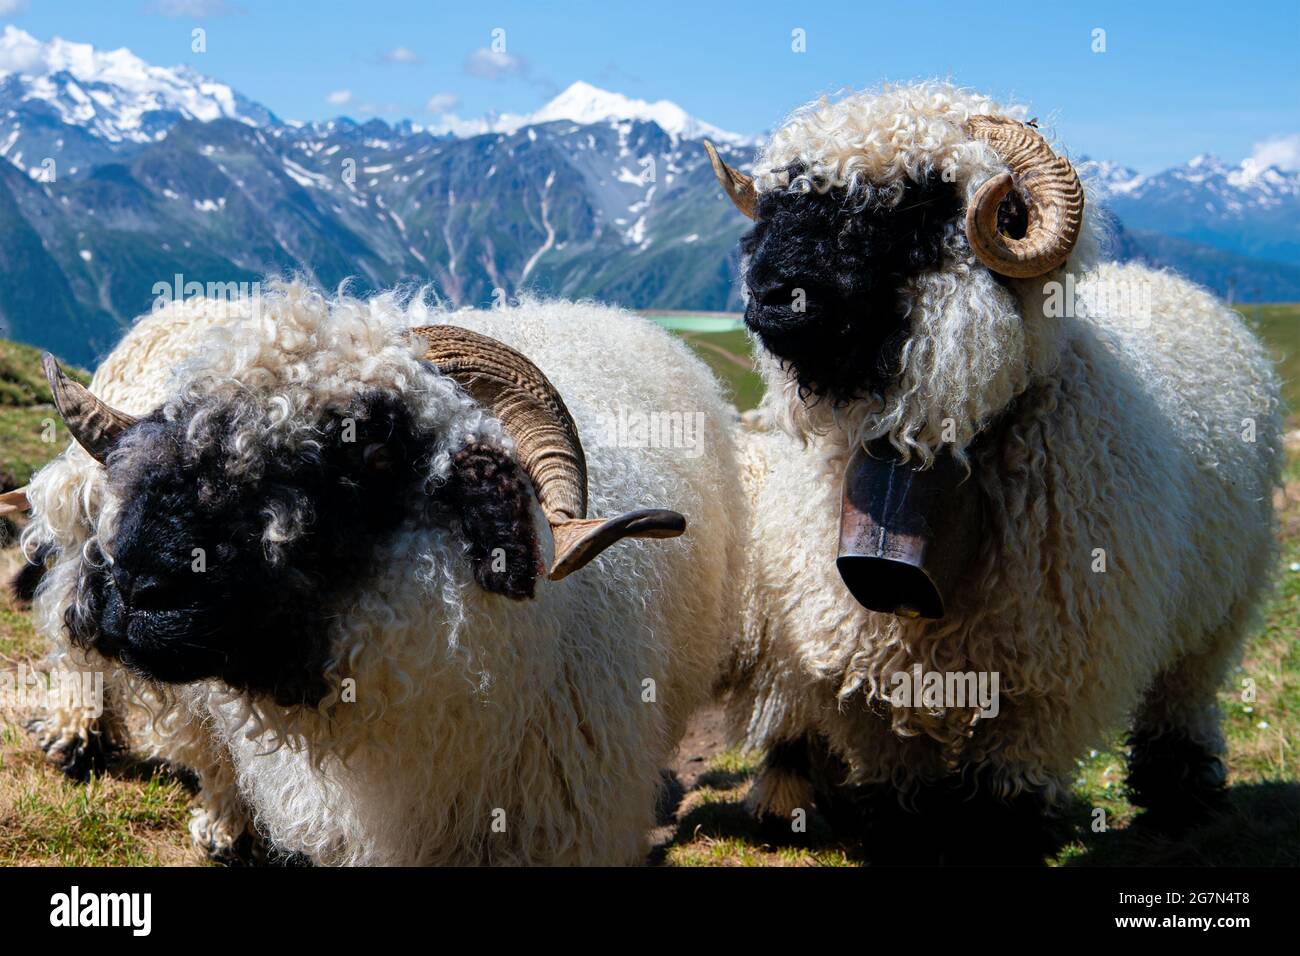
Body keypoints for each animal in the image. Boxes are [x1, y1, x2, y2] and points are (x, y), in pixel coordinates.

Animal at [706, 82, 1283, 863]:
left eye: (916, 205)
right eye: (776, 202)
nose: (771, 296)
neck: (927, 451)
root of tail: (1166, 282)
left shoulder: (1045, 683)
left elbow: (1002, 798)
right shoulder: (864, 673)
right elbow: (899, 788)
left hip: (1217, 613)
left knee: (1183, 700)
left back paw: (1182, 802)